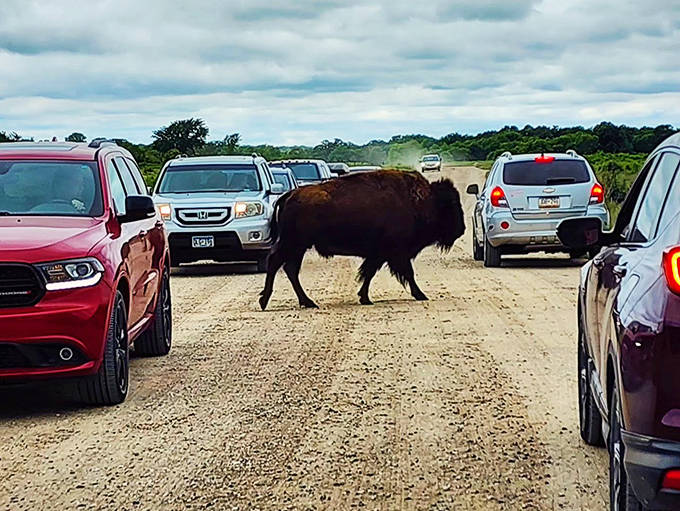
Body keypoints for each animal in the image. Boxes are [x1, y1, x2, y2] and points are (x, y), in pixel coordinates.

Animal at [259, 169, 465, 310]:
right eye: (452, 204)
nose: (461, 229)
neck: (421, 199)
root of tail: (290, 195)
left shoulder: (379, 255)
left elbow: (368, 274)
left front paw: (364, 298)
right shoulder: (397, 253)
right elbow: (407, 273)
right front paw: (421, 295)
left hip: (298, 247)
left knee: (290, 269)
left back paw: (307, 302)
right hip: (293, 244)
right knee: (276, 263)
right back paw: (265, 301)